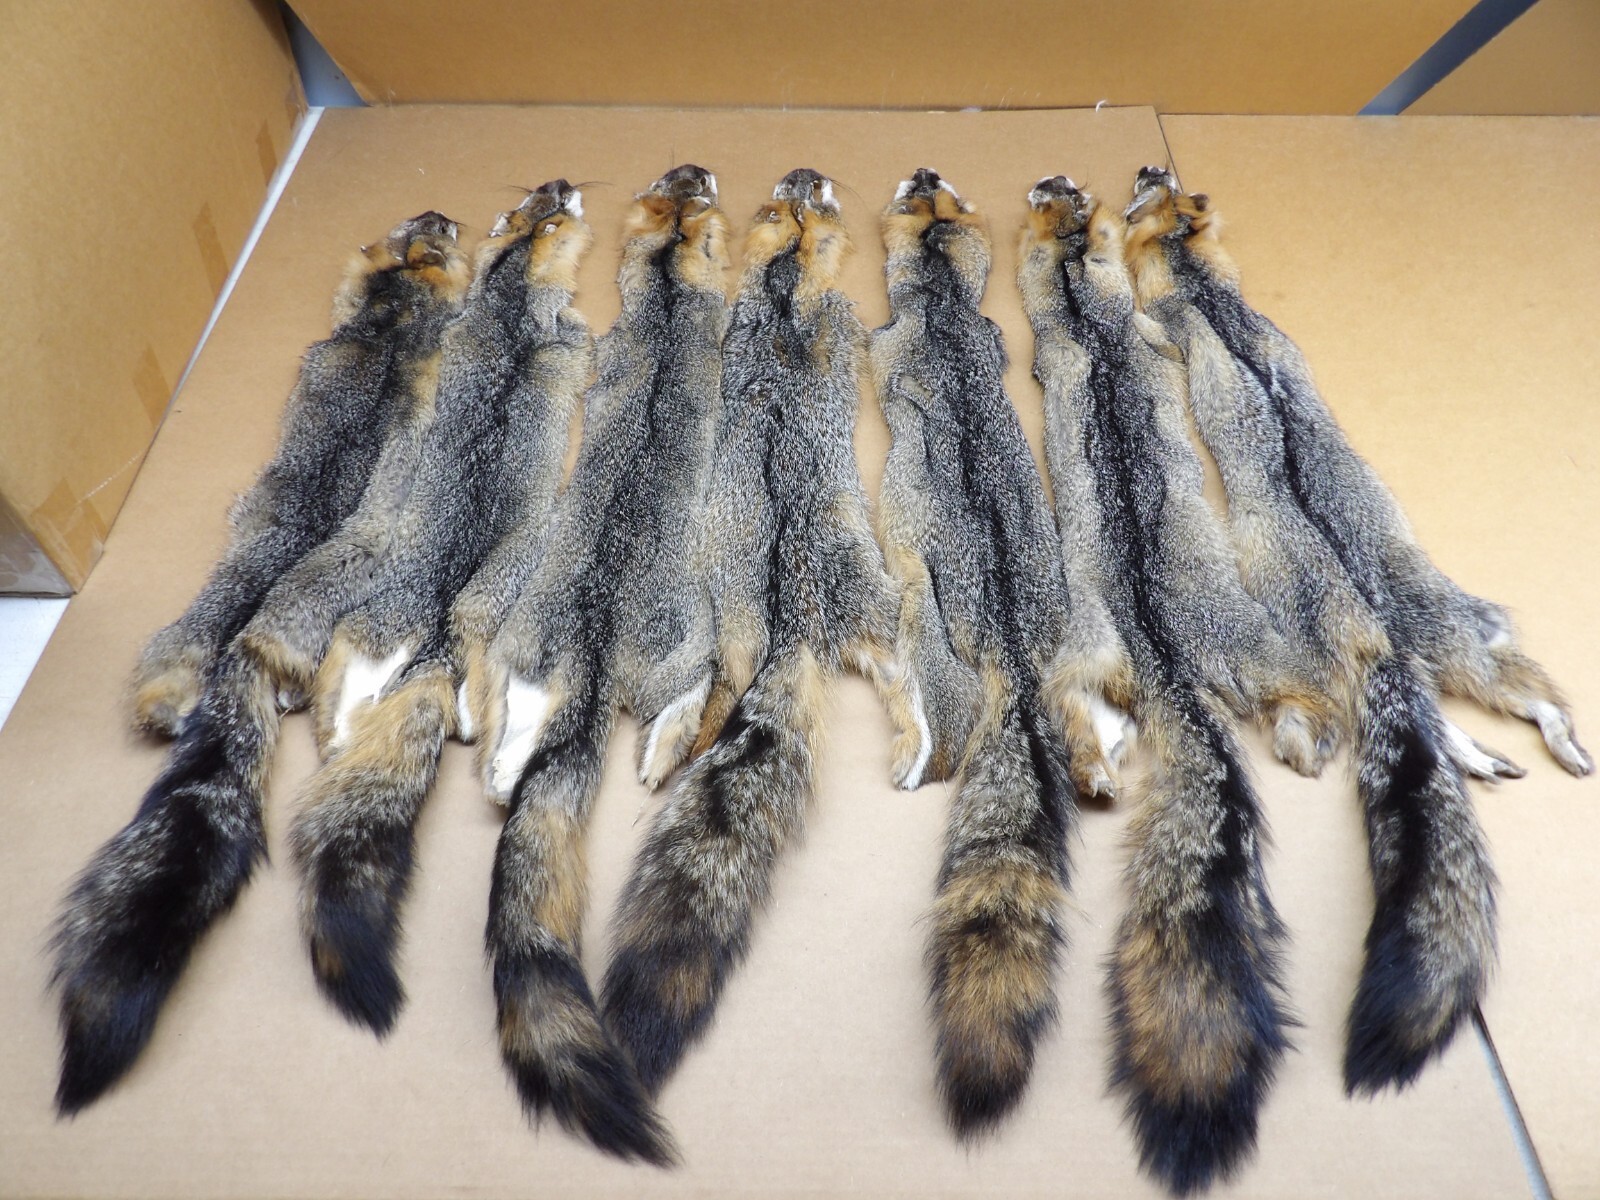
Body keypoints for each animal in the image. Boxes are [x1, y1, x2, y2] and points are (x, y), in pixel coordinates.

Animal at [288, 180, 594, 1037]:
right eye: (544, 208)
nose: (562, 183)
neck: (510, 295)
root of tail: (445, 619)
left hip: (369, 640)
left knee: (349, 714)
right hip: (500, 621)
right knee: (480, 720)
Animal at [477, 165, 729, 1165]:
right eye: (693, 184)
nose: (696, 168)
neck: (663, 288)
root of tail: (594, 635)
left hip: (524, 658)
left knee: (515, 749)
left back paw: (500, 778)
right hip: (686, 643)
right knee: (680, 707)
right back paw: (662, 758)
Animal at [599, 168, 899, 1113]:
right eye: (808, 195)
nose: (804, 175)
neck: (781, 294)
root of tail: (787, 613)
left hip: (730, 634)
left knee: (711, 701)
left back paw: (667, 756)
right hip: (867, 606)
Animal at [1019, 176, 1345, 1193]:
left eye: (1061, 189)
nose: (1066, 185)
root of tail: (1164, 645)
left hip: (1097, 663)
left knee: (1096, 731)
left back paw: (1102, 775)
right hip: (1263, 657)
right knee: (1296, 708)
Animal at [1121, 167, 1577, 1116]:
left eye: (1161, 184)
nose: (1151, 173)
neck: (1201, 282)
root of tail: (1367, 613)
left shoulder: (1168, 309)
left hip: (1405, 659)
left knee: (1449, 724)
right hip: (1459, 650)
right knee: (1486, 712)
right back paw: (1536, 752)